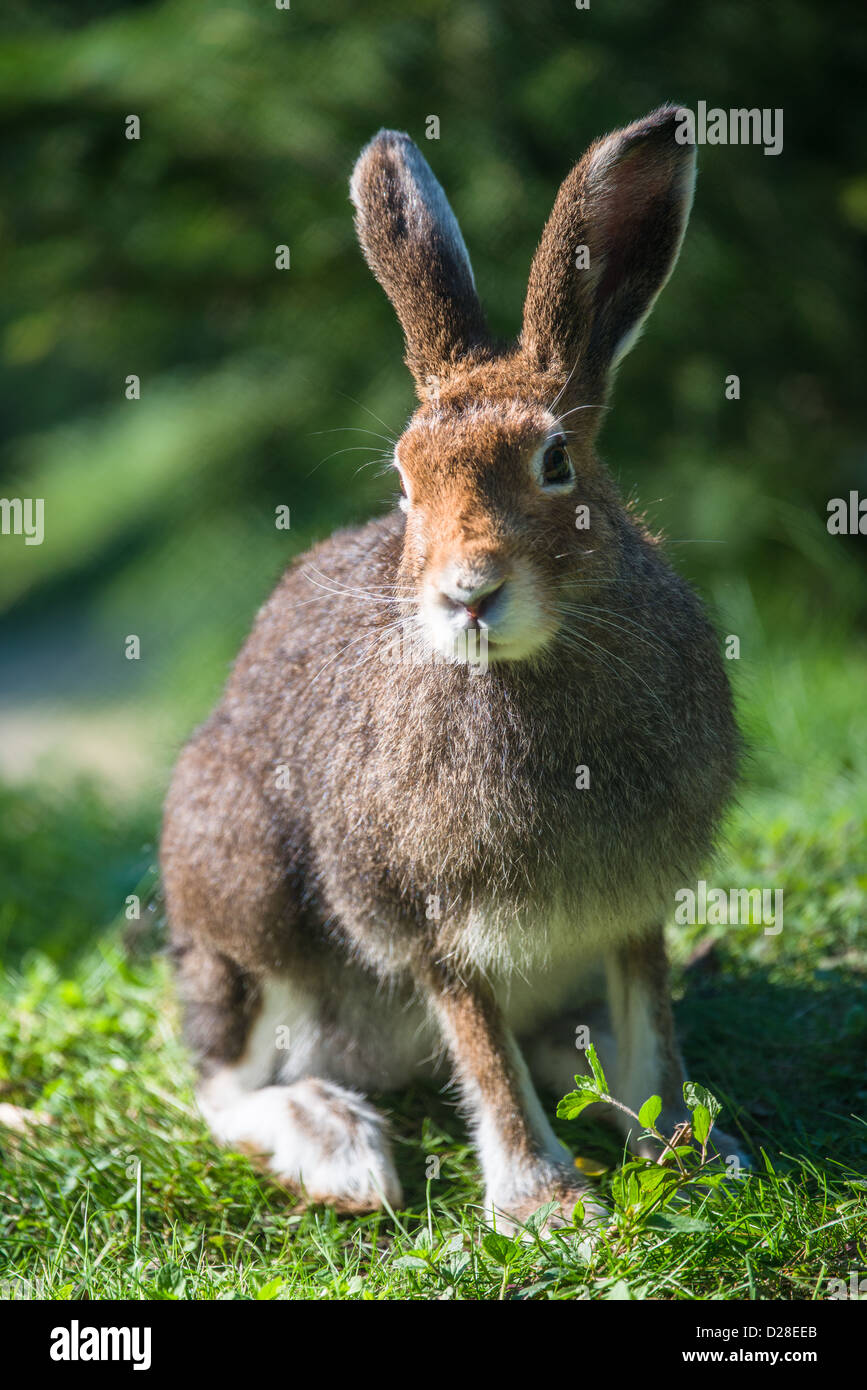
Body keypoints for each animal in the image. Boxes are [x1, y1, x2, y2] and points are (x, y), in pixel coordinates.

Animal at [161, 105, 747, 1234]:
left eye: (556, 460)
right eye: (404, 482)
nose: (468, 595)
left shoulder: (633, 902)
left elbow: (649, 1023)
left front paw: (688, 1152)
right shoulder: (422, 916)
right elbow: (480, 1048)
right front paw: (548, 1205)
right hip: (244, 896)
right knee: (222, 1085)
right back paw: (336, 1147)